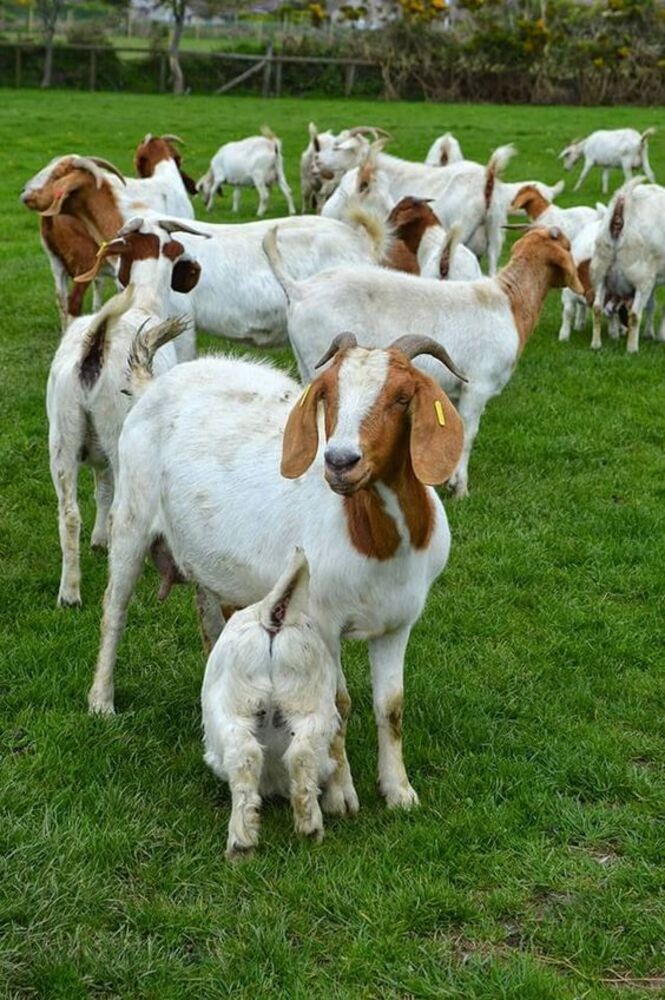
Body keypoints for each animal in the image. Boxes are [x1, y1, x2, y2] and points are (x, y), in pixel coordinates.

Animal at [46, 217, 201, 607]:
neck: (143, 301)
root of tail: (95, 347)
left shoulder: (95, 451)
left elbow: (100, 490)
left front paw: (98, 541)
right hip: (117, 432)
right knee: (120, 511)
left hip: (63, 436)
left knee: (69, 513)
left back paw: (70, 594)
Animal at [87, 333, 465, 814]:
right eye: (328, 395)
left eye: (402, 397)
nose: (340, 461)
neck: (375, 540)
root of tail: (152, 384)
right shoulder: (322, 621)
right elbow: (337, 704)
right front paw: (341, 796)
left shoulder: (398, 622)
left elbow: (391, 706)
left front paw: (399, 791)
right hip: (131, 519)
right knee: (113, 611)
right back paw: (101, 702)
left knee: (209, 622)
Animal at [202, 548, 341, 859]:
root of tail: (271, 616)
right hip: (308, 697)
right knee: (302, 752)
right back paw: (309, 826)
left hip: (229, 705)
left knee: (244, 756)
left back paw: (240, 843)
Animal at [263, 225, 582, 498]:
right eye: (567, 246)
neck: (507, 303)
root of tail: (299, 289)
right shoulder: (477, 386)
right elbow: (469, 434)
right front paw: (461, 489)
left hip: (309, 363)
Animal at [590, 178, 665, 353]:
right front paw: (660, 336)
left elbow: (651, 305)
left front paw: (649, 334)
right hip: (641, 274)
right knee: (634, 315)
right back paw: (632, 348)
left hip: (601, 270)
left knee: (597, 308)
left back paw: (596, 344)